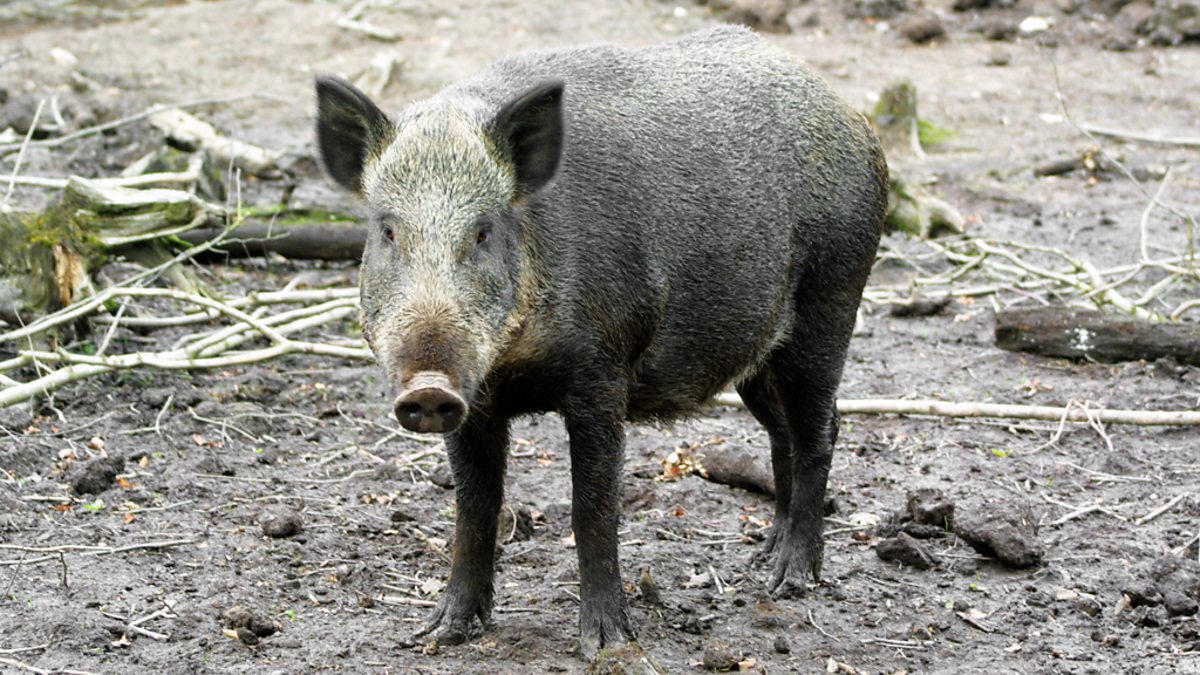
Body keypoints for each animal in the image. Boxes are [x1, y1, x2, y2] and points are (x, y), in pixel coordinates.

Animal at [315, 25, 886, 658]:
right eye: (388, 230)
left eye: (483, 231)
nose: (430, 387)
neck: (516, 364)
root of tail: (852, 116)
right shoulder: (478, 403)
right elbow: (475, 508)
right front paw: (439, 635)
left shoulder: (602, 373)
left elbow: (592, 508)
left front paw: (607, 645)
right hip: (755, 355)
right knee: (782, 434)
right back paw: (761, 557)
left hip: (832, 300)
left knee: (822, 430)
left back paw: (790, 580)